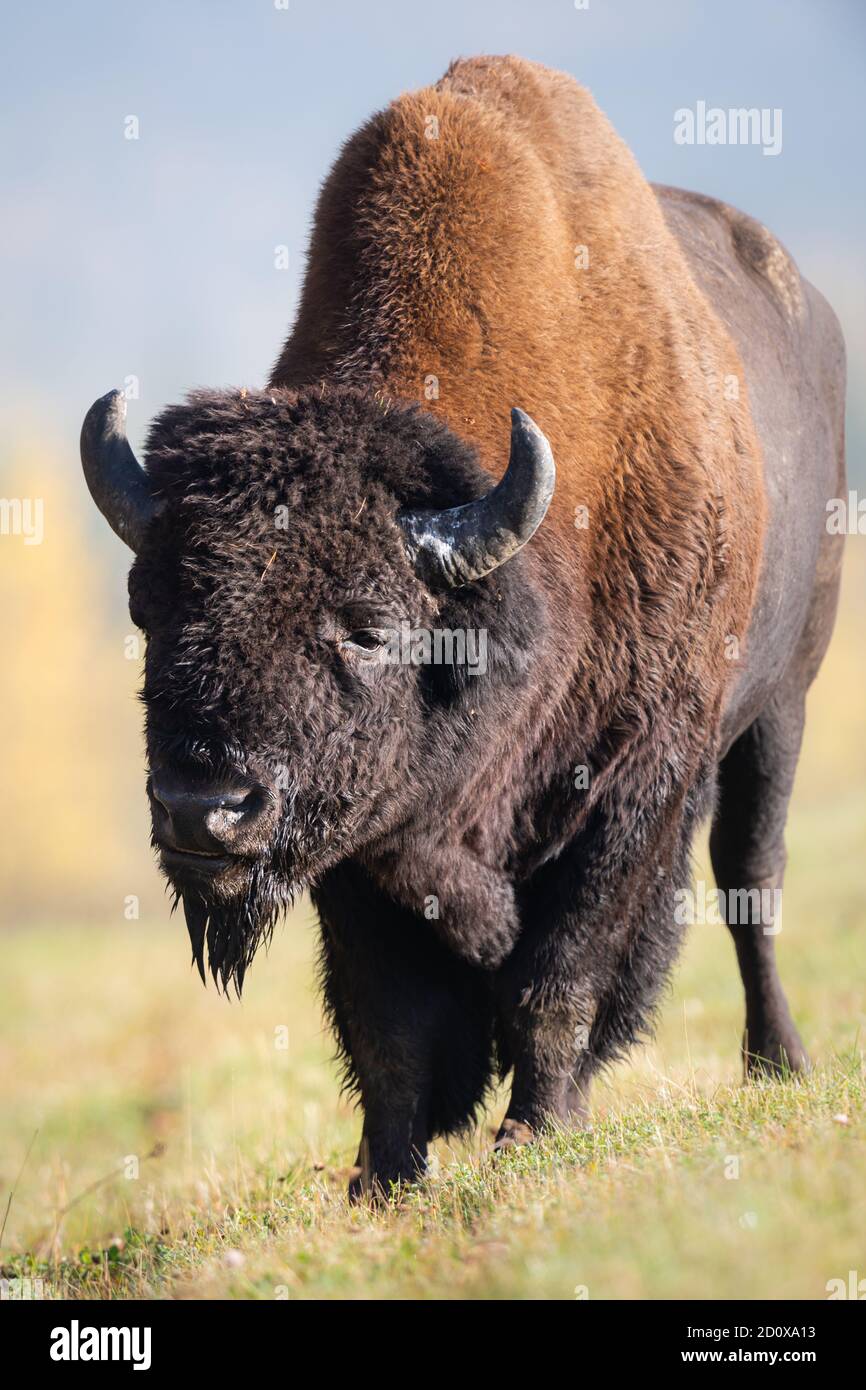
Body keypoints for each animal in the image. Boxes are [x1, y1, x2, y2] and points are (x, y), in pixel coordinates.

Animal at [81, 56, 846, 1195]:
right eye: (150, 605)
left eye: (366, 626)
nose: (201, 807)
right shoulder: (364, 842)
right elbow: (387, 1022)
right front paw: (385, 1176)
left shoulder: (634, 784)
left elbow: (560, 978)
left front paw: (538, 1130)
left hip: (780, 705)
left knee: (751, 876)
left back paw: (777, 1063)